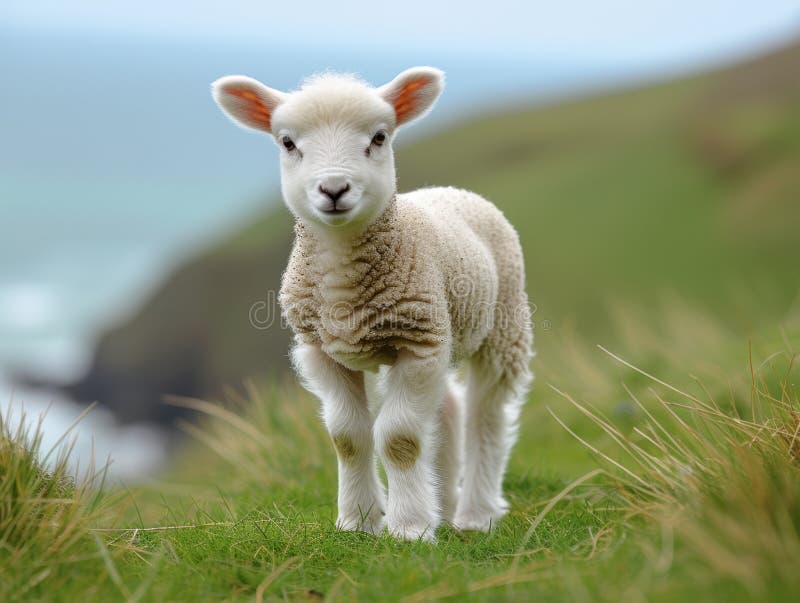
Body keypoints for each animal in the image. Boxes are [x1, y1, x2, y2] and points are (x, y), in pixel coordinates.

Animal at [212, 67, 534, 541]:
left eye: (379, 138)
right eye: (287, 143)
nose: (333, 189)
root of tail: (449, 189)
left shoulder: (417, 345)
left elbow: (399, 439)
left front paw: (410, 527)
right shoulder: (323, 351)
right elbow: (348, 437)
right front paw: (359, 521)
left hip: (503, 325)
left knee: (487, 416)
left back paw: (477, 514)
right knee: (449, 408)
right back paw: (445, 506)